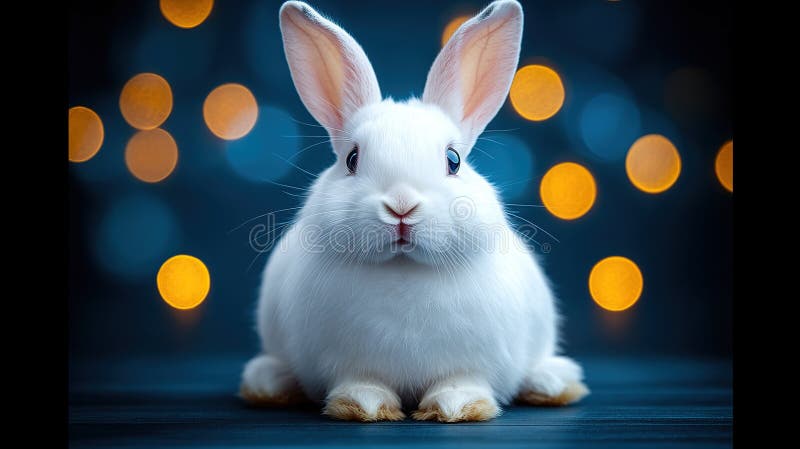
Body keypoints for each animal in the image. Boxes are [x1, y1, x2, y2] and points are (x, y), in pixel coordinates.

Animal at [239, 0, 589, 422]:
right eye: (352, 159)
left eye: (453, 160)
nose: (401, 206)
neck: (403, 268)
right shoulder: (351, 362)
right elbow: (363, 383)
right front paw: (364, 406)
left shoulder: (471, 362)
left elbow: (460, 382)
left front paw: (457, 407)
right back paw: (268, 383)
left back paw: (553, 383)